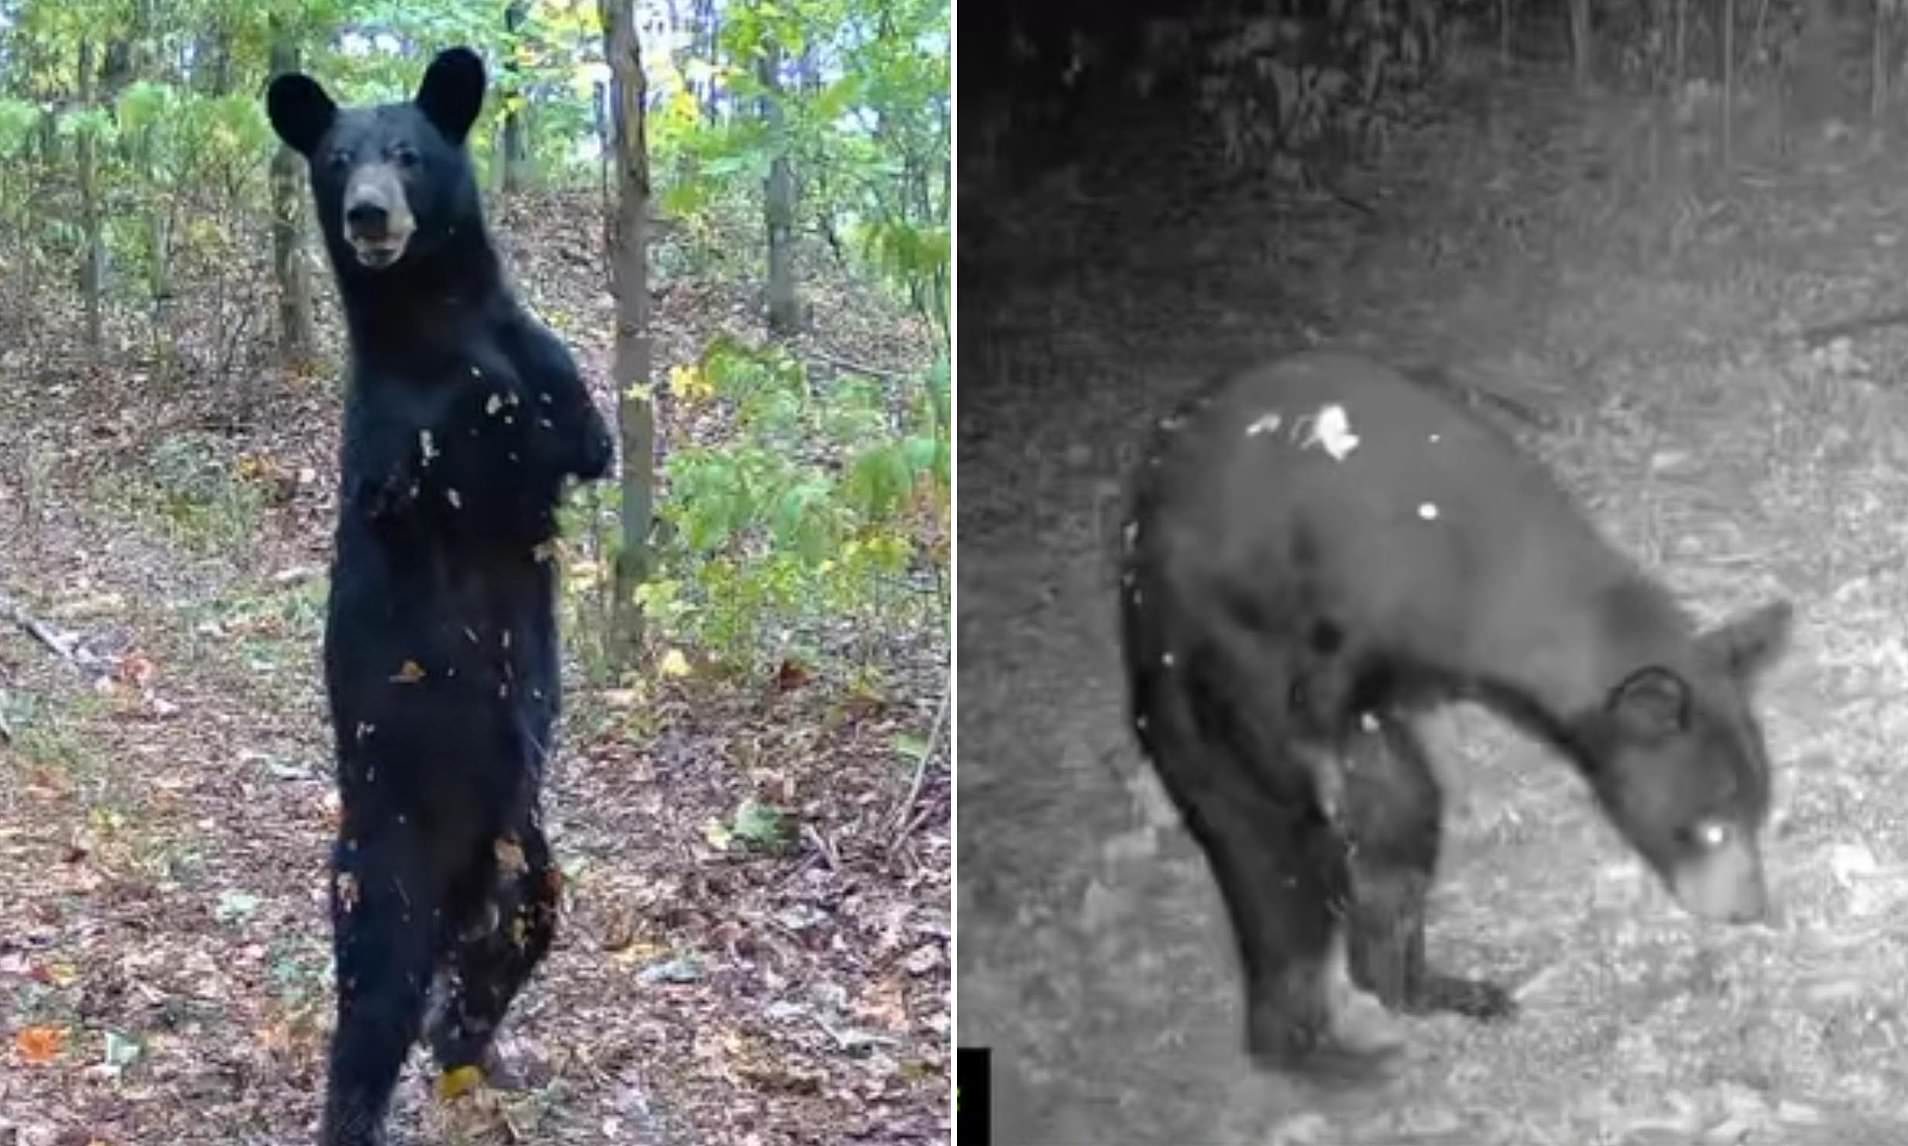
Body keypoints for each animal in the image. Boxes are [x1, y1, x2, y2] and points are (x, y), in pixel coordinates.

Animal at [266, 46, 614, 1145]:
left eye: (410, 154)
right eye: (338, 160)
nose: (370, 213)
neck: (431, 313)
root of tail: (466, 877)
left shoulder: (545, 369)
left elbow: (578, 427)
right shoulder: (391, 436)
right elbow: (429, 457)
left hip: (529, 863)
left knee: (507, 950)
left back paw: (470, 1043)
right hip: (387, 871)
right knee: (374, 1006)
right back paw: (368, 1099)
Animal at [1118, 350, 1792, 1082]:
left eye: (1756, 812)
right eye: (1705, 826)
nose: (1750, 909)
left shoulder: (1418, 667)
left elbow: (1429, 743)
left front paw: (1475, 799)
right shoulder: (1343, 612)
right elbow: (1328, 728)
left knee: (1390, 843)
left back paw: (1439, 993)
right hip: (1204, 699)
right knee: (1281, 863)